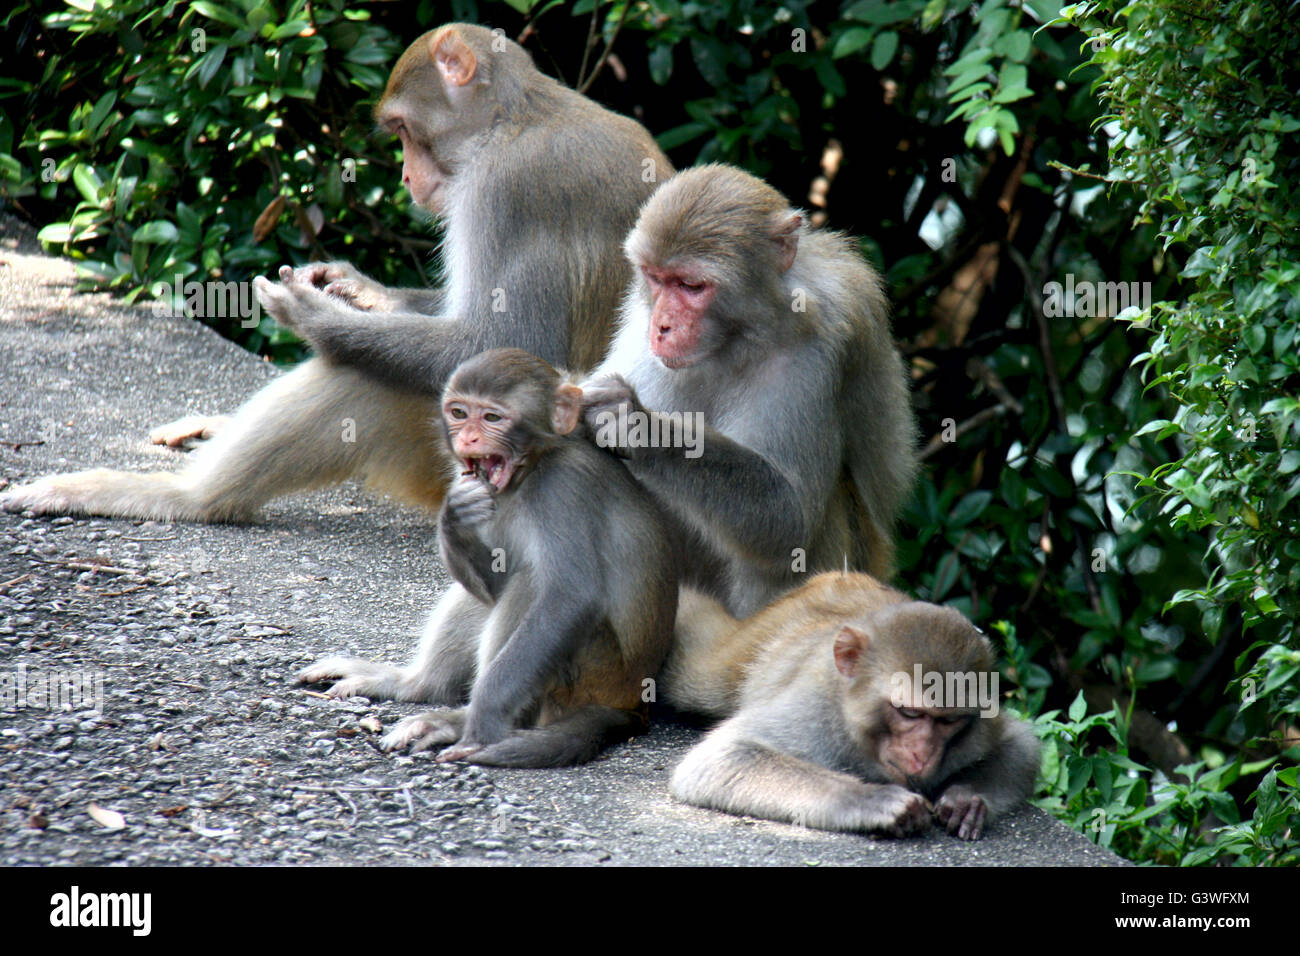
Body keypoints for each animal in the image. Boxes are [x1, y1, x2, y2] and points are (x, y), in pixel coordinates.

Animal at [1, 23, 672, 522]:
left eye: (402, 130)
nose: (406, 176)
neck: (515, 117)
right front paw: (355, 288)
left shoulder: (505, 191)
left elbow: (506, 344)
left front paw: (315, 315)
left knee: (362, 377)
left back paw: (186, 499)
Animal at [301, 349, 678, 767]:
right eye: (459, 412)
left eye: (493, 418)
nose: (468, 437)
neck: (533, 467)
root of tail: (631, 705)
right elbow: (494, 585)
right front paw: (453, 517)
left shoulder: (564, 488)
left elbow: (569, 596)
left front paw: (480, 722)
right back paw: (416, 684)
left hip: (591, 676)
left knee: (530, 585)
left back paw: (456, 720)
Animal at [577, 164, 917, 619]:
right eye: (656, 278)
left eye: (691, 285)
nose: (662, 326)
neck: (736, 338)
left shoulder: (814, 351)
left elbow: (789, 517)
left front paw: (637, 426)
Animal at [661, 573, 1041, 840]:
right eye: (909, 712)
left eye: (948, 722)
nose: (921, 755)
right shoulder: (814, 711)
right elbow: (723, 757)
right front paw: (875, 801)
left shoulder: (980, 728)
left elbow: (1022, 746)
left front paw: (966, 799)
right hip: (747, 645)